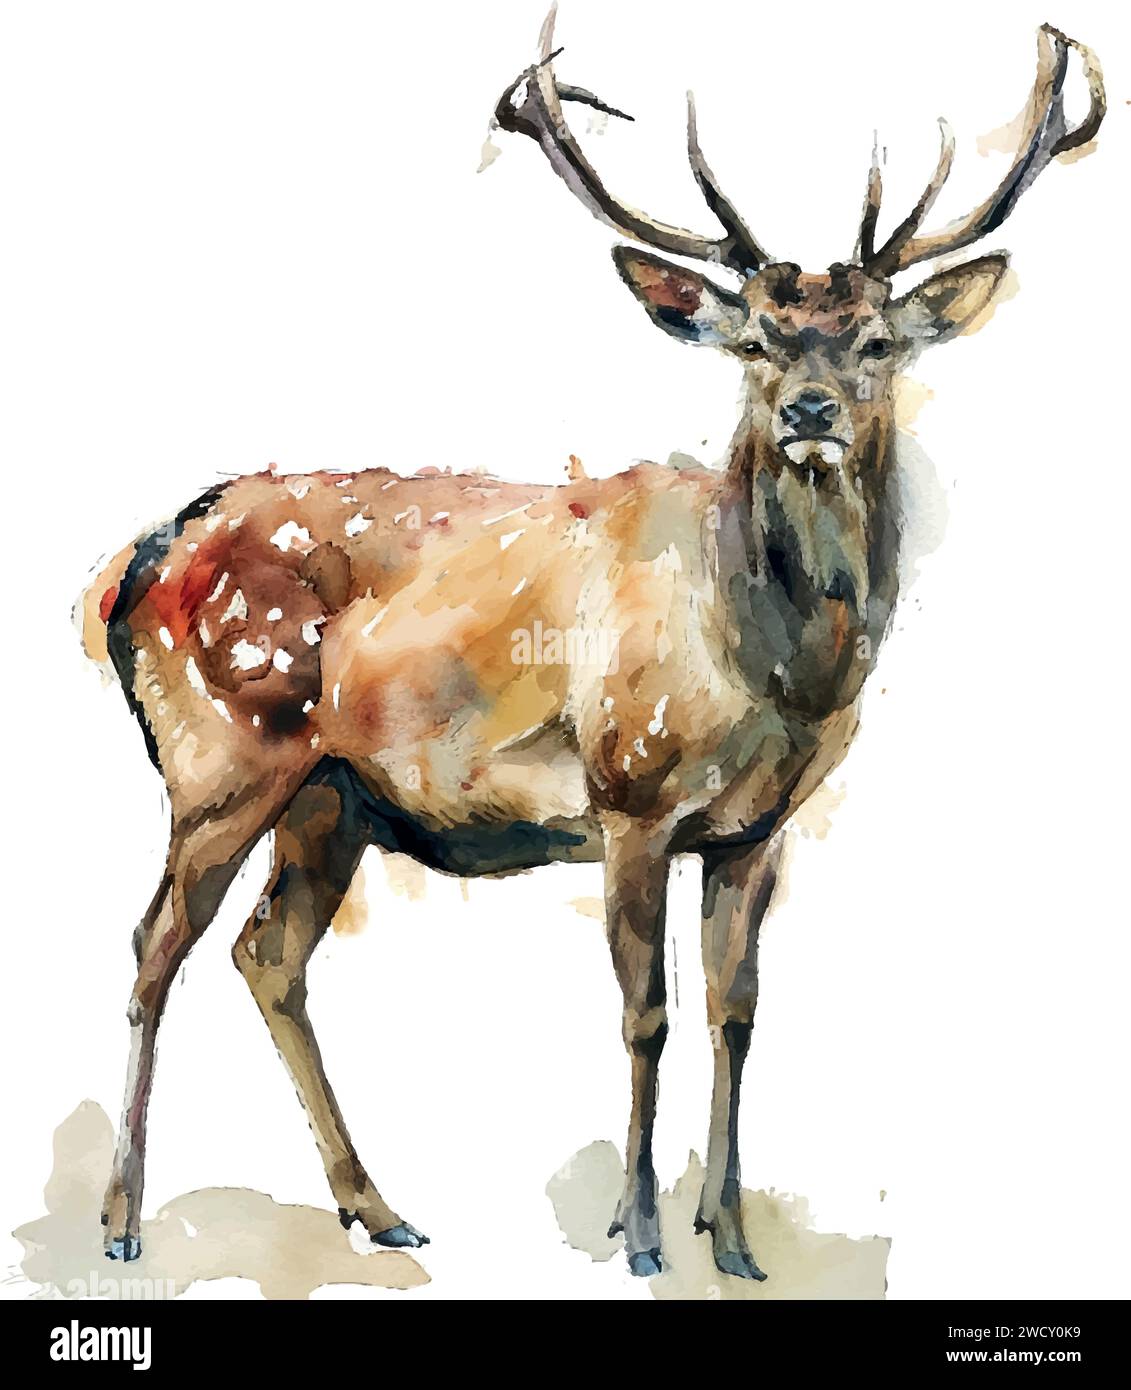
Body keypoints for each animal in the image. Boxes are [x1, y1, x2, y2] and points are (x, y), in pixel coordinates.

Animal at [79, 10, 1103, 1282]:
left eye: (874, 341)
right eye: (755, 340)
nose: (811, 408)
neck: (774, 674)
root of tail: (137, 563)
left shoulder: (757, 829)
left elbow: (736, 1011)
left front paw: (734, 1235)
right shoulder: (631, 791)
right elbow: (644, 1012)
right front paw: (642, 1233)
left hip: (335, 796)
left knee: (269, 953)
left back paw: (379, 1205)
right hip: (221, 755)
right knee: (153, 941)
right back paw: (121, 1216)